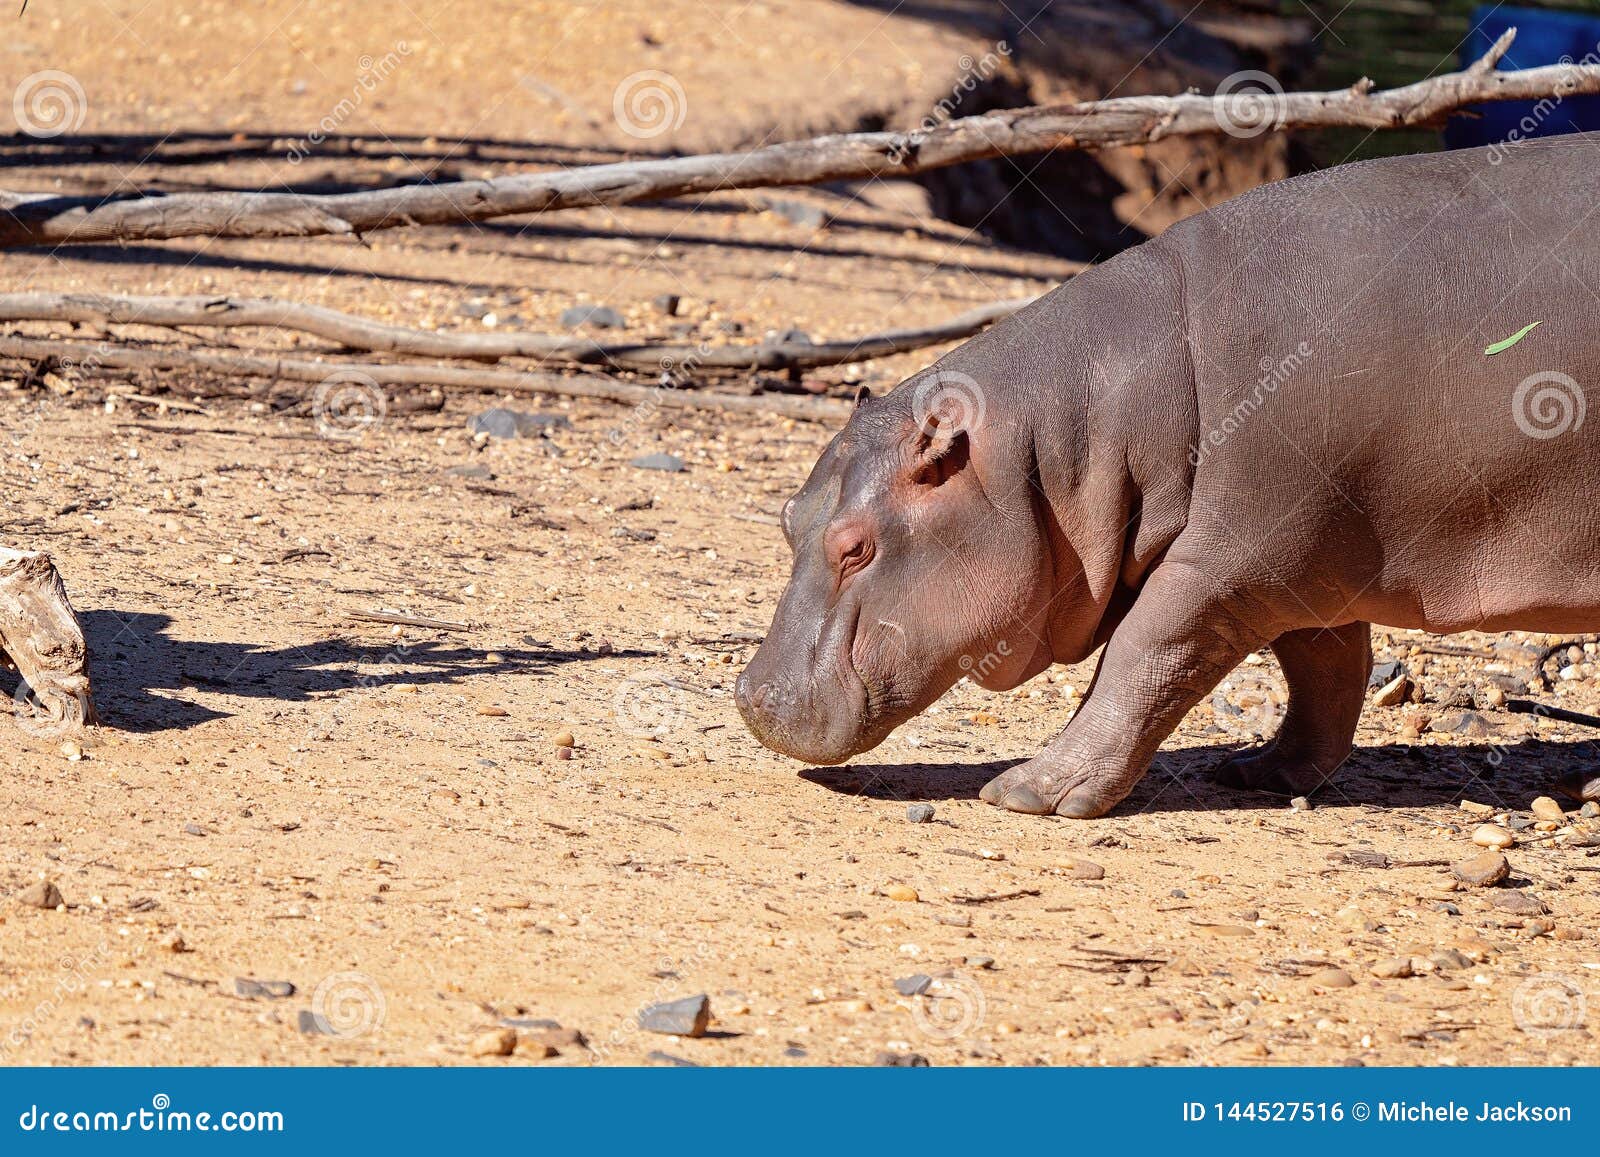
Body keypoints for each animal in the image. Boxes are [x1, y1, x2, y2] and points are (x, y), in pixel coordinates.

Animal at [735, 130, 1600, 818]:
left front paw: (1027, 791)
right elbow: (1327, 666)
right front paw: (1263, 772)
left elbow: (1143, 653)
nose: (750, 696)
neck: (1056, 449)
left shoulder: (1230, 561)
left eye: (856, 547)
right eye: (787, 516)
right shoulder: (1308, 558)